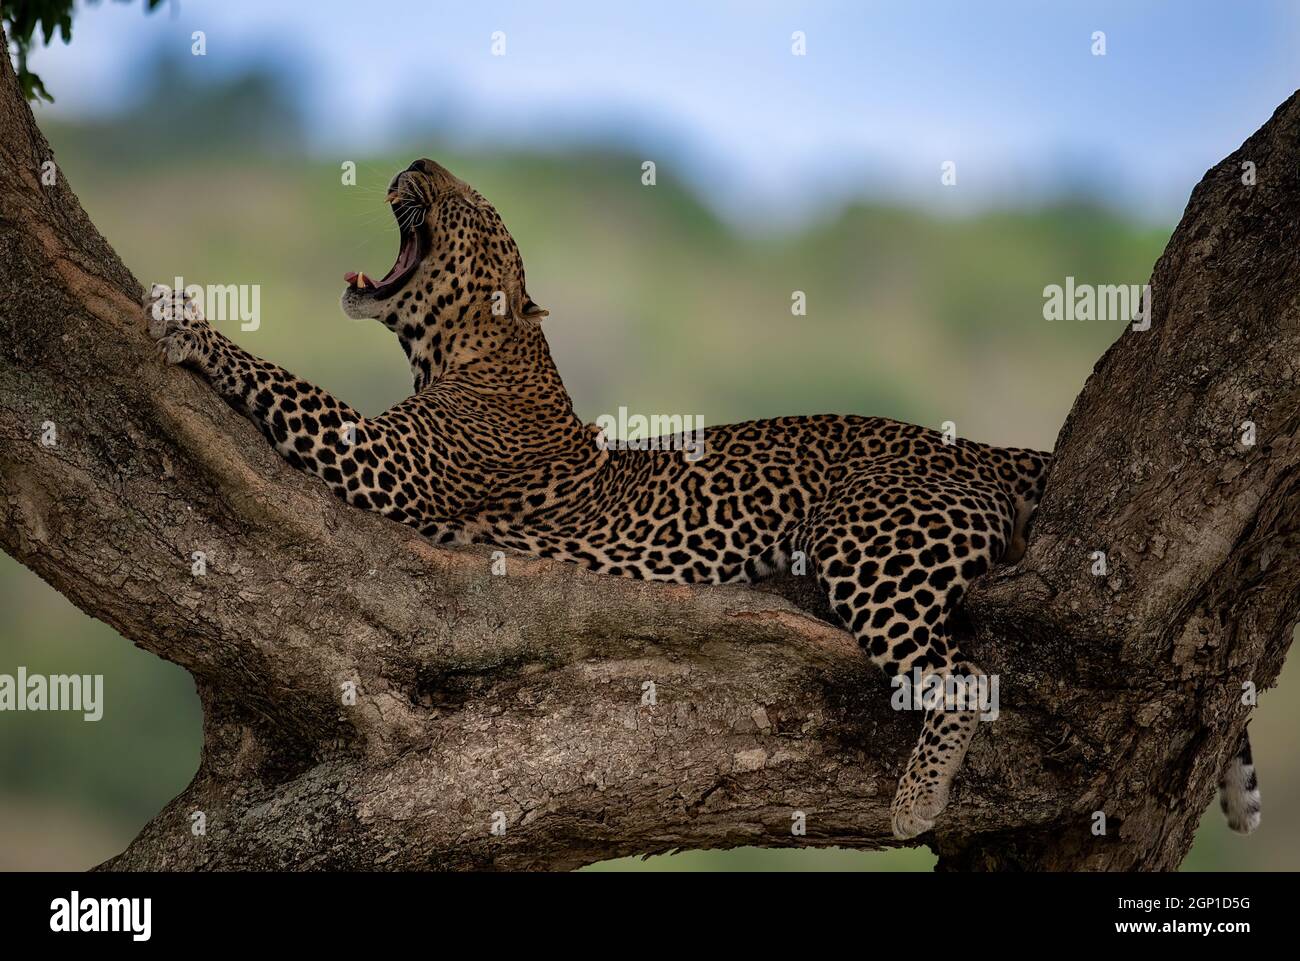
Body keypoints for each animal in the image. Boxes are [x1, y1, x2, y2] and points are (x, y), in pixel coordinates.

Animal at [146, 157, 1259, 841]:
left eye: (468, 207)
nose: (417, 161)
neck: (472, 349)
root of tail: (980, 444)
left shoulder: (387, 462)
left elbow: (290, 384)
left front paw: (187, 324)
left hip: (870, 539)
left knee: (962, 679)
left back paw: (915, 800)